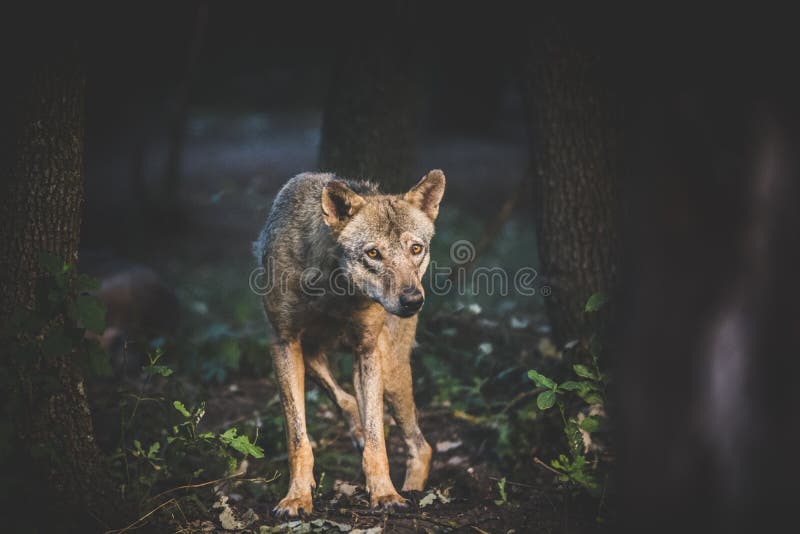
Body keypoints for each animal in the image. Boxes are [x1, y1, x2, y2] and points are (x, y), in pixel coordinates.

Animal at [254, 169, 446, 517]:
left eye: (415, 249)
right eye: (373, 253)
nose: (413, 301)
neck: (334, 291)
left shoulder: (366, 350)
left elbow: (377, 442)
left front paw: (384, 494)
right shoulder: (284, 344)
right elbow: (298, 439)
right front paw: (297, 498)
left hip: (392, 372)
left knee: (421, 445)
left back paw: (410, 490)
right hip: (313, 356)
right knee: (345, 400)